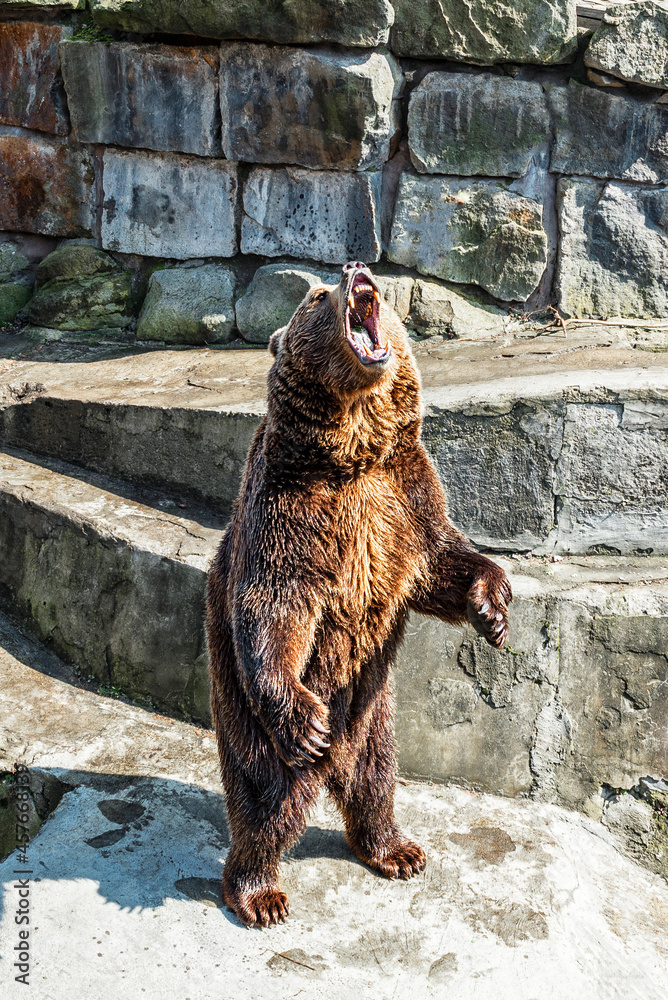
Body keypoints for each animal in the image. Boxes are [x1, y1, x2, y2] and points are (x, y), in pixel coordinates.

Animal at [206, 261, 512, 927]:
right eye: (317, 296)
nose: (355, 268)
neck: (352, 454)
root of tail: (335, 767)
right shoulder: (289, 503)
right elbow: (276, 604)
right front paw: (302, 717)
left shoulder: (404, 495)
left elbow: (438, 561)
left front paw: (493, 606)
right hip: (245, 713)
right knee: (266, 801)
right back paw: (259, 891)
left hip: (374, 713)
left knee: (377, 781)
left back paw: (395, 848)